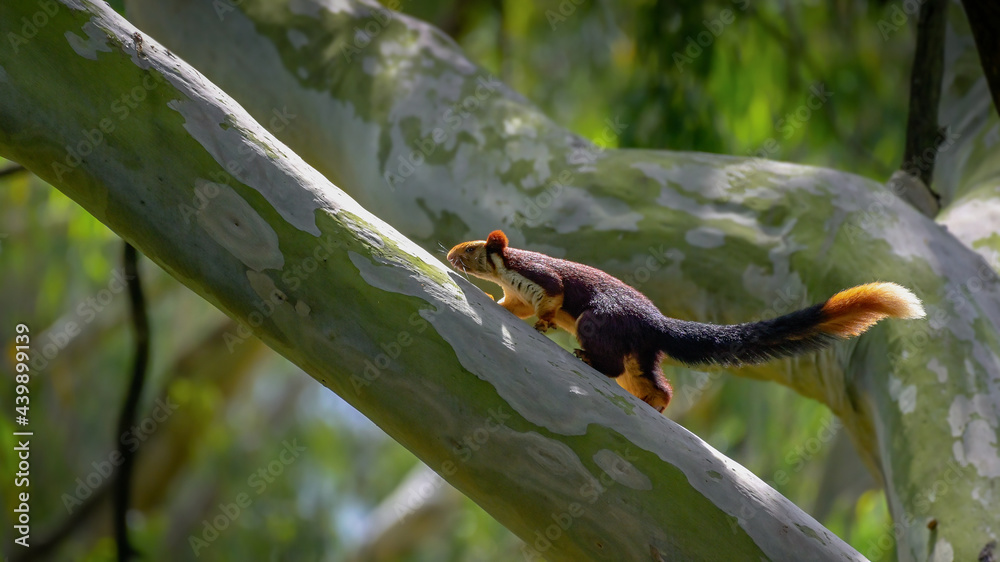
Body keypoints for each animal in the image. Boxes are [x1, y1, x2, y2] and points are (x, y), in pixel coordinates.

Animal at [447, 230, 926, 412]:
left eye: (471, 248)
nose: (450, 255)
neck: (510, 272)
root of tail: (655, 323)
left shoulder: (543, 277)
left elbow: (553, 297)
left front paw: (544, 324)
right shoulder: (517, 294)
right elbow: (512, 307)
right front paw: (492, 301)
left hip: (600, 322)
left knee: (613, 364)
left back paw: (586, 358)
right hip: (641, 354)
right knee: (654, 382)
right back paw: (653, 402)